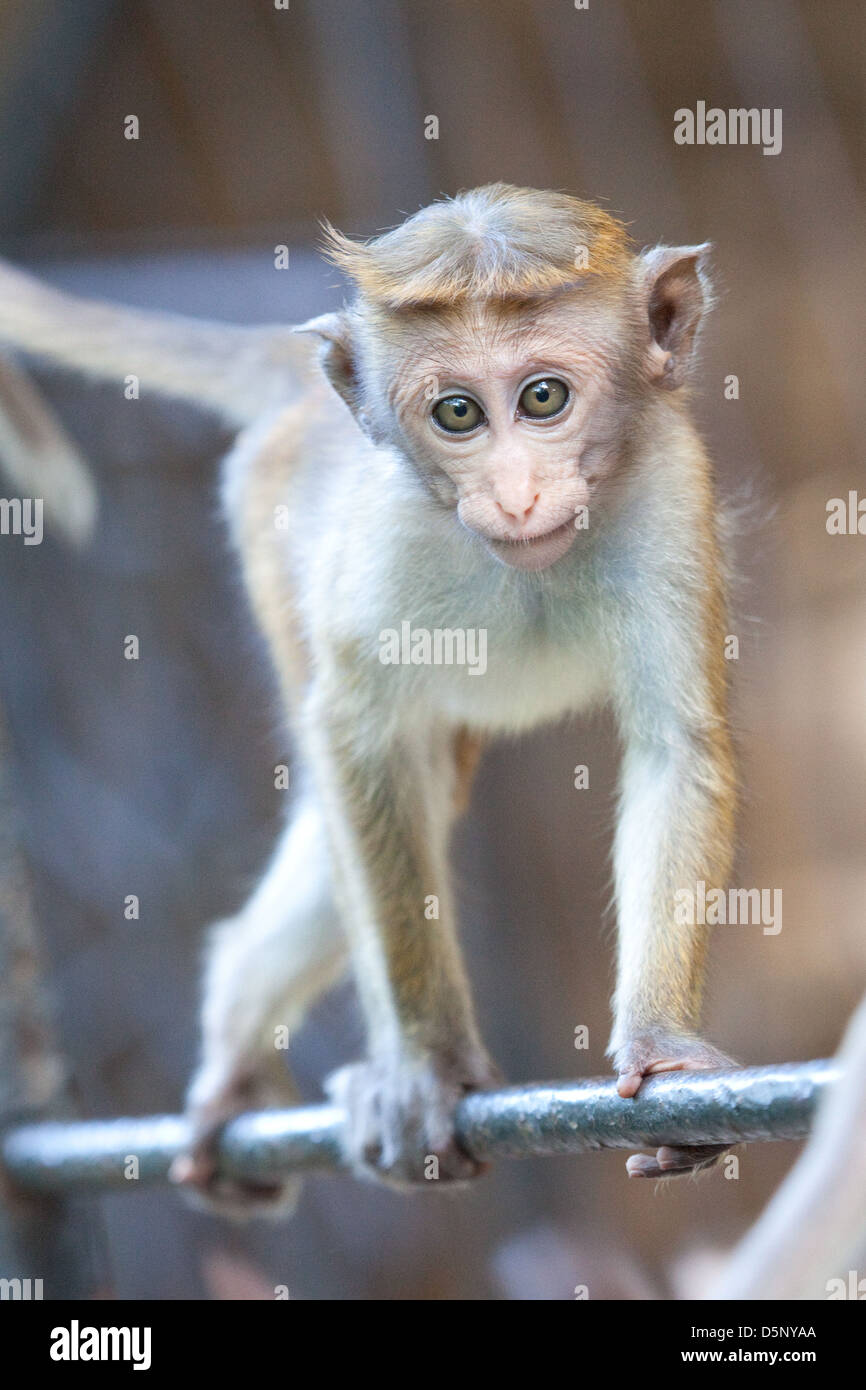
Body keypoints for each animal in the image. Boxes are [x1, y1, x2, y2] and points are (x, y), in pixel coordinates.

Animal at [0, 184, 738, 1215]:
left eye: (543, 397)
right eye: (458, 413)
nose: (515, 496)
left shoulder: (669, 485)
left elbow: (675, 745)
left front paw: (664, 1051)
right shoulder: (390, 536)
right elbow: (361, 740)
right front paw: (425, 1068)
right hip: (267, 526)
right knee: (368, 784)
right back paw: (242, 1039)